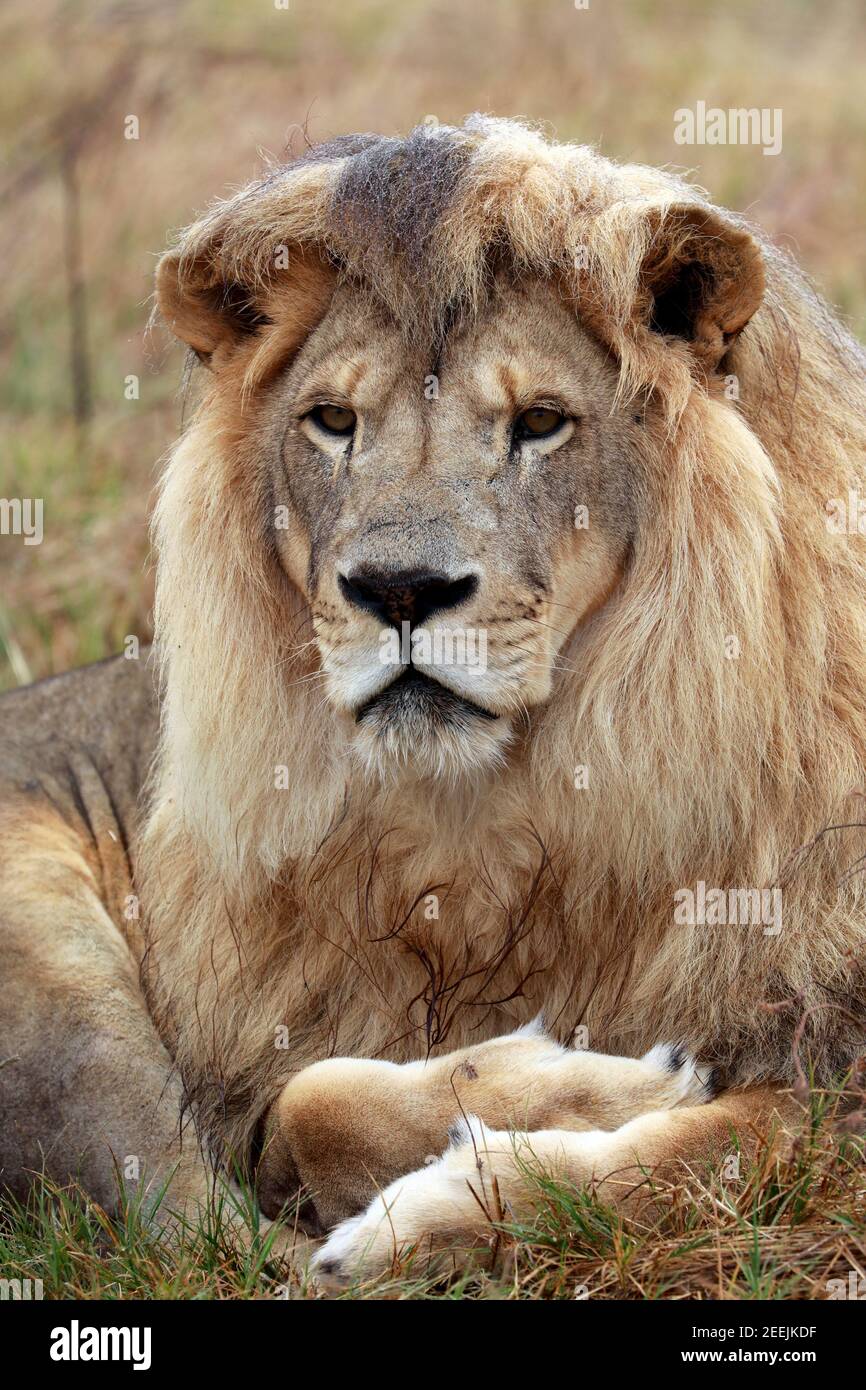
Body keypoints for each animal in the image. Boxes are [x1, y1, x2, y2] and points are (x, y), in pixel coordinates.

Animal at [2, 116, 865, 1284]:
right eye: (331, 421)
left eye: (540, 422)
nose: (399, 590)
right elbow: (299, 1108)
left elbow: (700, 1151)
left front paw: (449, 1205)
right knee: (206, 1223)